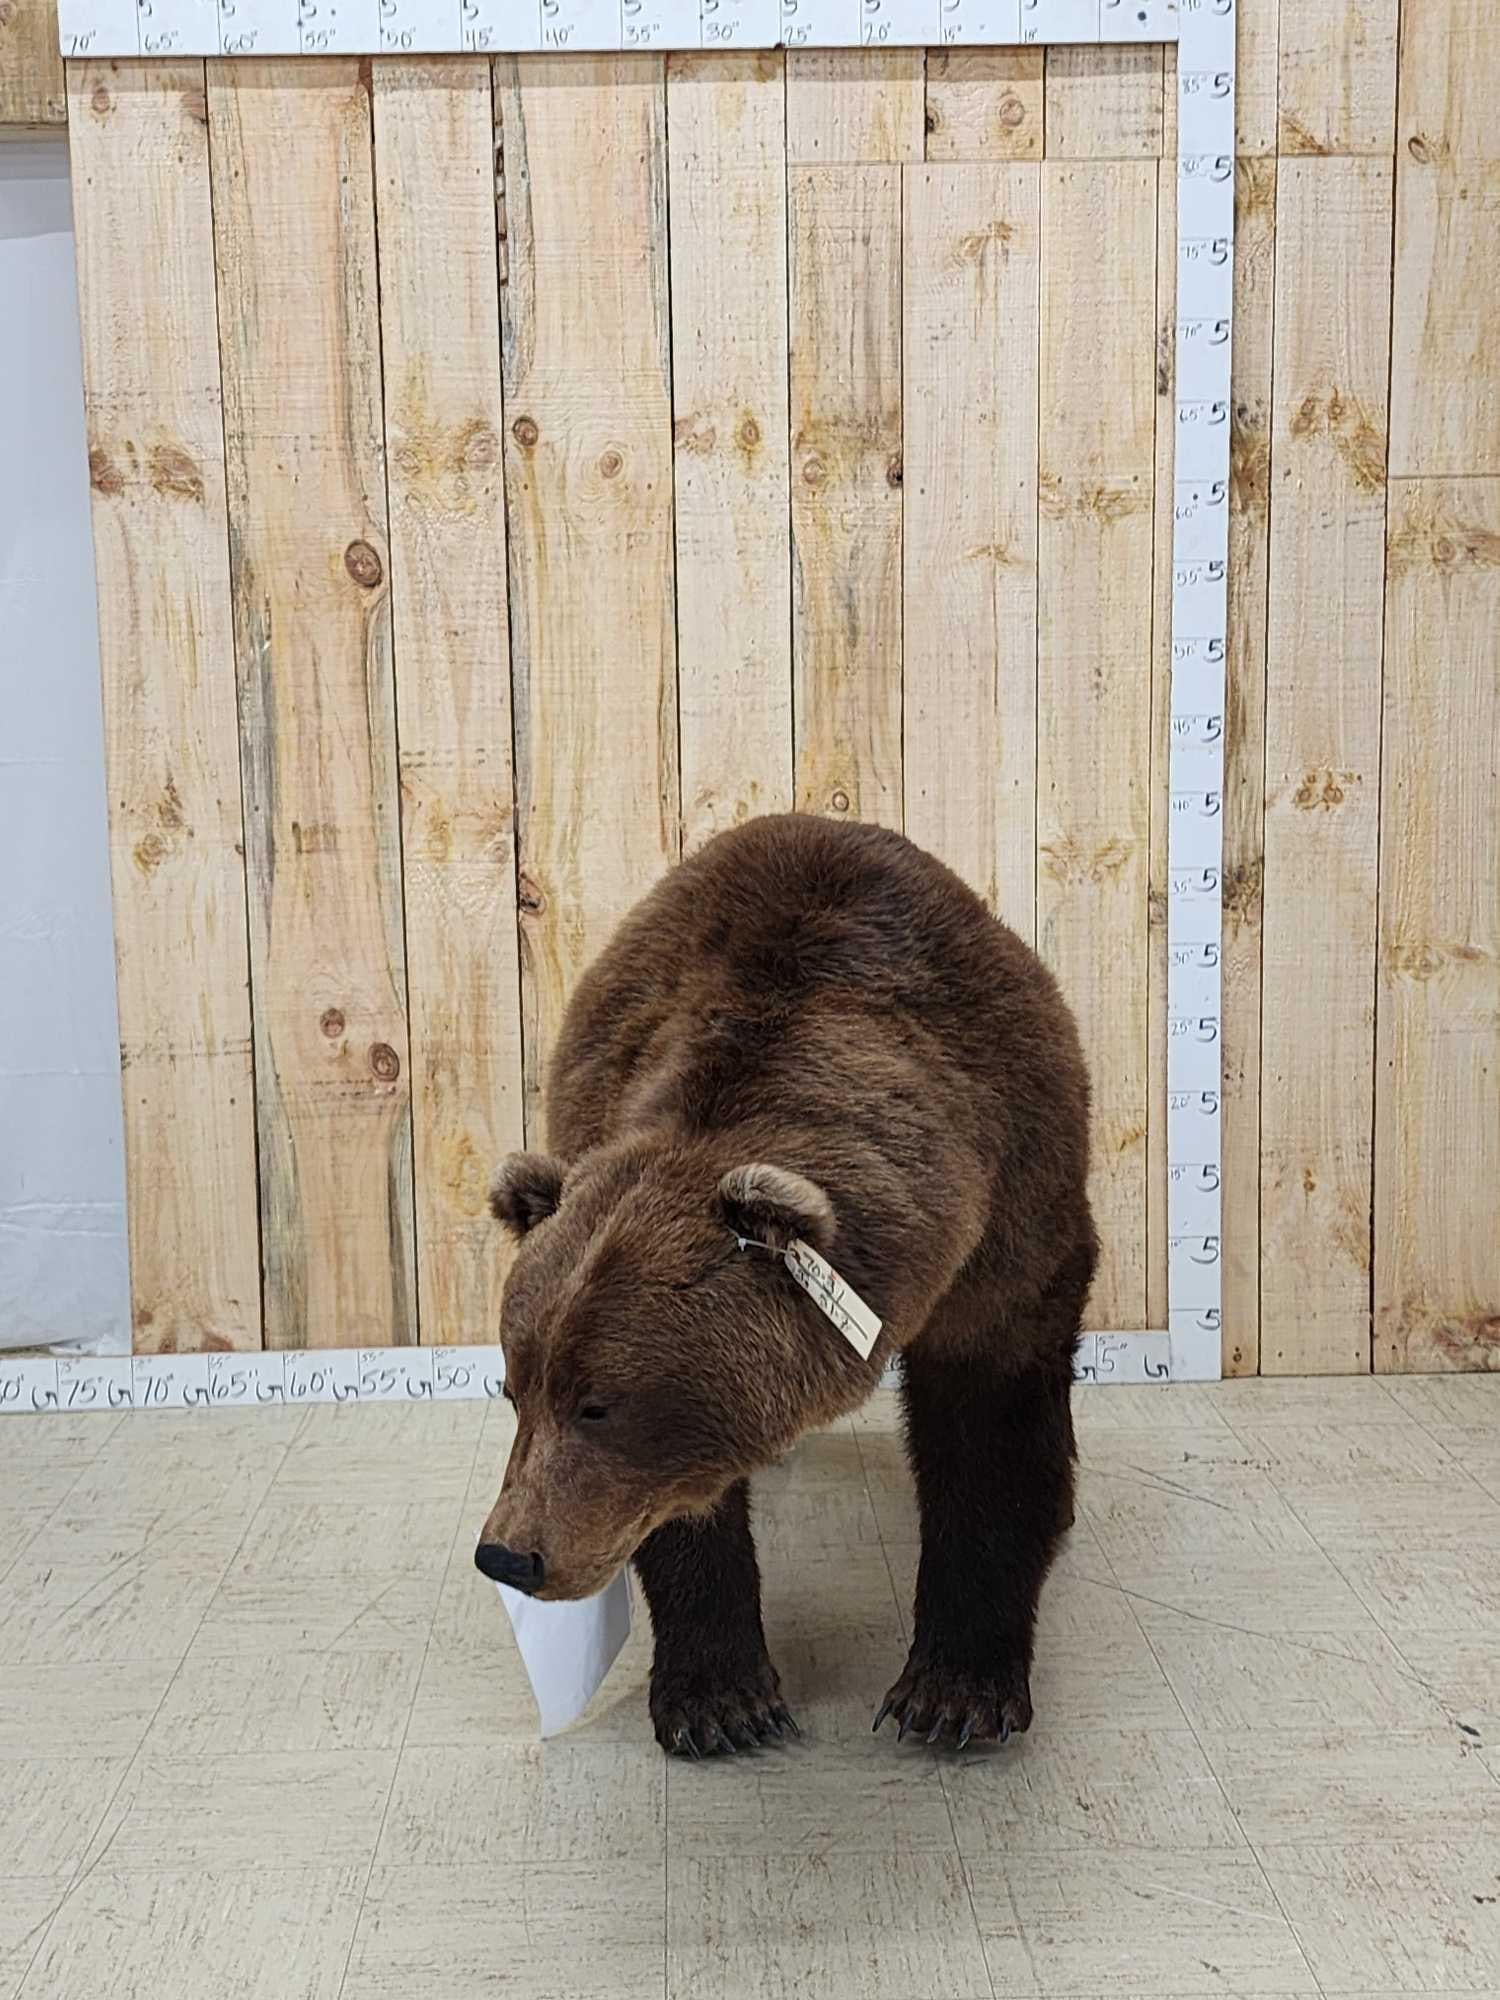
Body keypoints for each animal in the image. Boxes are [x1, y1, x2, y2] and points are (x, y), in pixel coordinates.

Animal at [475, 812, 1096, 1757]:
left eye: (598, 1403)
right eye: (515, 1389)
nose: (507, 1554)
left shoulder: (1010, 1218)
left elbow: (990, 1433)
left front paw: (952, 1693)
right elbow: (683, 1509)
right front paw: (722, 1700)